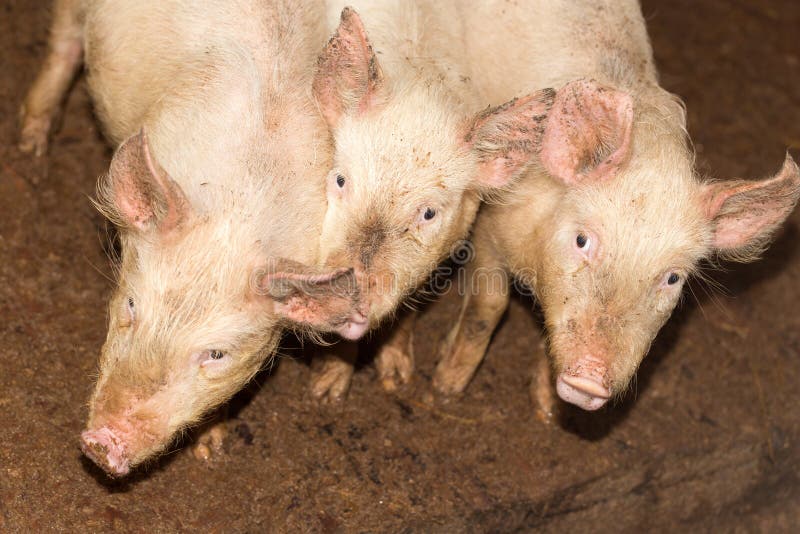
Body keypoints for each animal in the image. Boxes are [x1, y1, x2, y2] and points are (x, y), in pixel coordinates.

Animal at [20, 0, 364, 476]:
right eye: (131, 305)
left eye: (216, 355)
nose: (101, 444)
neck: (239, 208)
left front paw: (210, 450)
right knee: (64, 43)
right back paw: (29, 148)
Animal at [428, 0, 800, 411]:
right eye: (582, 240)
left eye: (673, 278)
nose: (589, 381)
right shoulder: (492, 219)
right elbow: (489, 305)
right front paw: (444, 387)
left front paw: (544, 409)